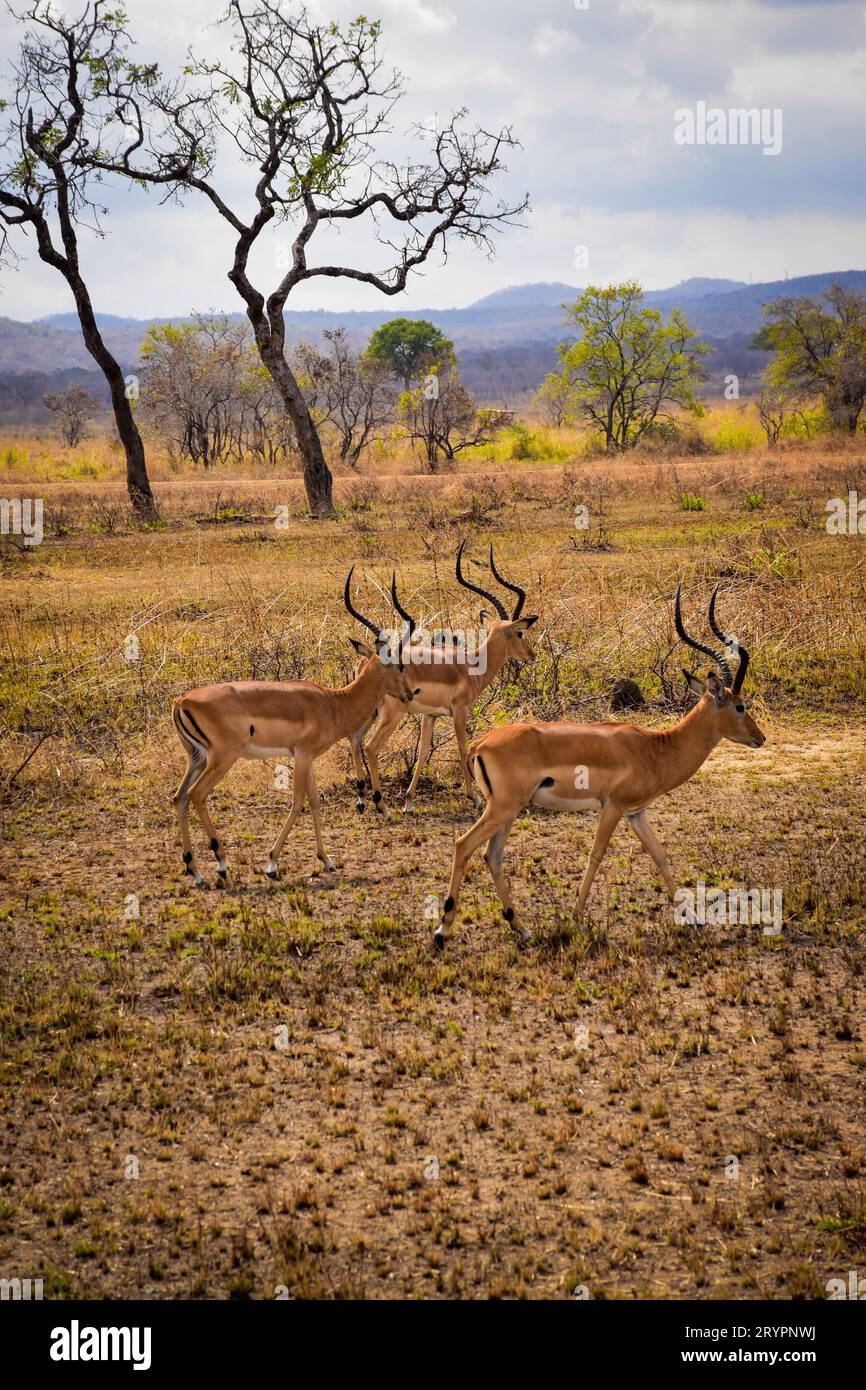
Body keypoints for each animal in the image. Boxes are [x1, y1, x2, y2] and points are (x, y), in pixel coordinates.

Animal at [171, 570, 418, 887]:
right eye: (400, 665)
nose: (410, 694)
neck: (332, 702)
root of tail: (182, 700)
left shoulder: (307, 758)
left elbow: (313, 801)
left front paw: (327, 860)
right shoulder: (301, 755)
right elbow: (298, 802)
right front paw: (272, 864)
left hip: (197, 758)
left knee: (179, 797)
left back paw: (196, 871)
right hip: (222, 758)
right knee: (197, 795)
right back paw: (222, 865)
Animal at [350, 541, 538, 815]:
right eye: (520, 633)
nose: (532, 655)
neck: (471, 664)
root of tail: (366, 662)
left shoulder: (430, 715)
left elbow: (422, 753)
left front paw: (409, 802)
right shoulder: (460, 711)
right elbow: (463, 747)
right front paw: (475, 797)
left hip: (371, 711)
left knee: (355, 739)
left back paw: (362, 800)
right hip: (391, 714)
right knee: (370, 747)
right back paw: (381, 806)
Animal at [435, 588, 765, 946]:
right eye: (739, 706)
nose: (760, 737)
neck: (655, 748)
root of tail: (480, 744)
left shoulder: (637, 812)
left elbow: (660, 856)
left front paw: (692, 918)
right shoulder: (614, 807)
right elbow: (596, 854)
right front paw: (575, 918)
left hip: (508, 810)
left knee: (491, 855)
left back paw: (520, 928)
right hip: (503, 808)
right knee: (463, 845)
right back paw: (442, 930)